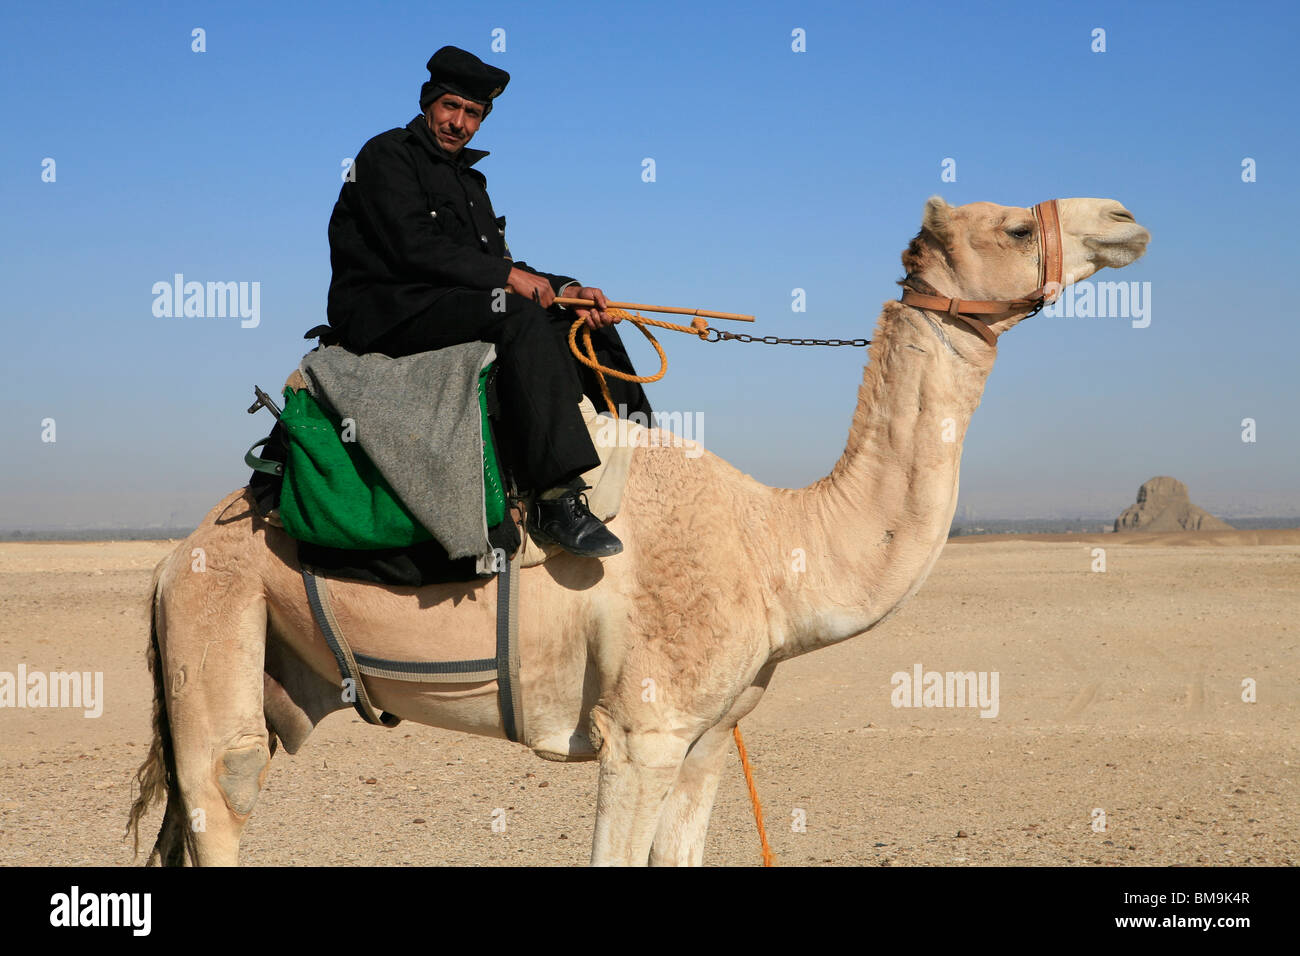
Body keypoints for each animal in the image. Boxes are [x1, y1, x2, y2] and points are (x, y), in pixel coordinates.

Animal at [126, 196, 1150, 866]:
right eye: (1013, 225)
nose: (1124, 216)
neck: (773, 545)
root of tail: (170, 562)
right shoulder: (640, 733)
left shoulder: (705, 742)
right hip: (216, 615)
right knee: (225, 788)